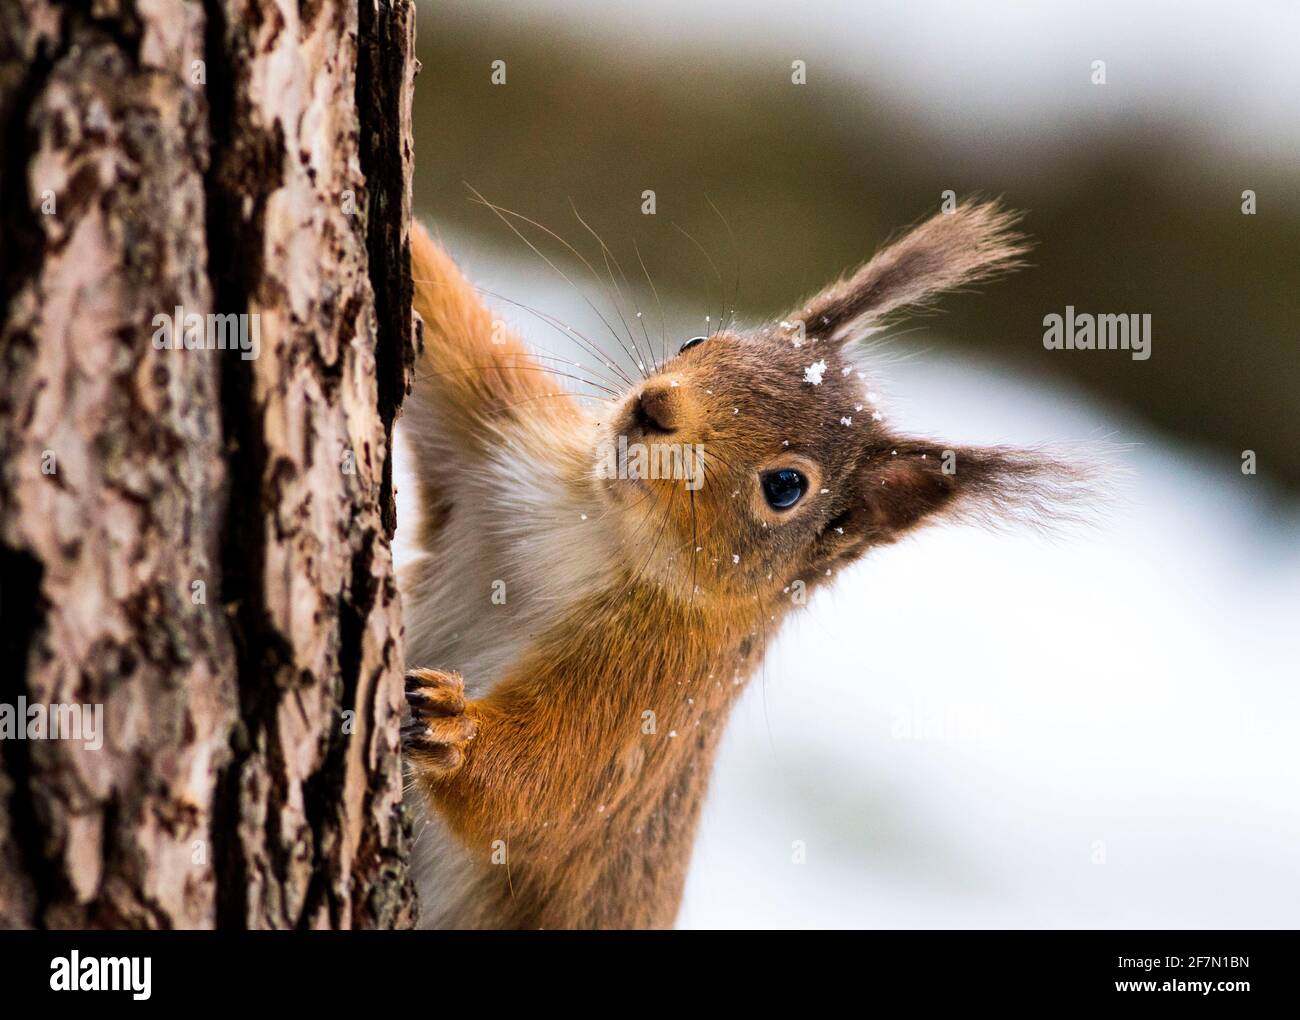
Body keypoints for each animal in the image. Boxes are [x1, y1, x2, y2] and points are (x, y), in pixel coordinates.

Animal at [399, 201, 1090, 928]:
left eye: (785, 486)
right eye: (696, 342)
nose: (653, 407)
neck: (601, 532)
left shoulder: (667, 686)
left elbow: (550, 781)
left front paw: (455, 727)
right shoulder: (512, 449)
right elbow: (449, 331)